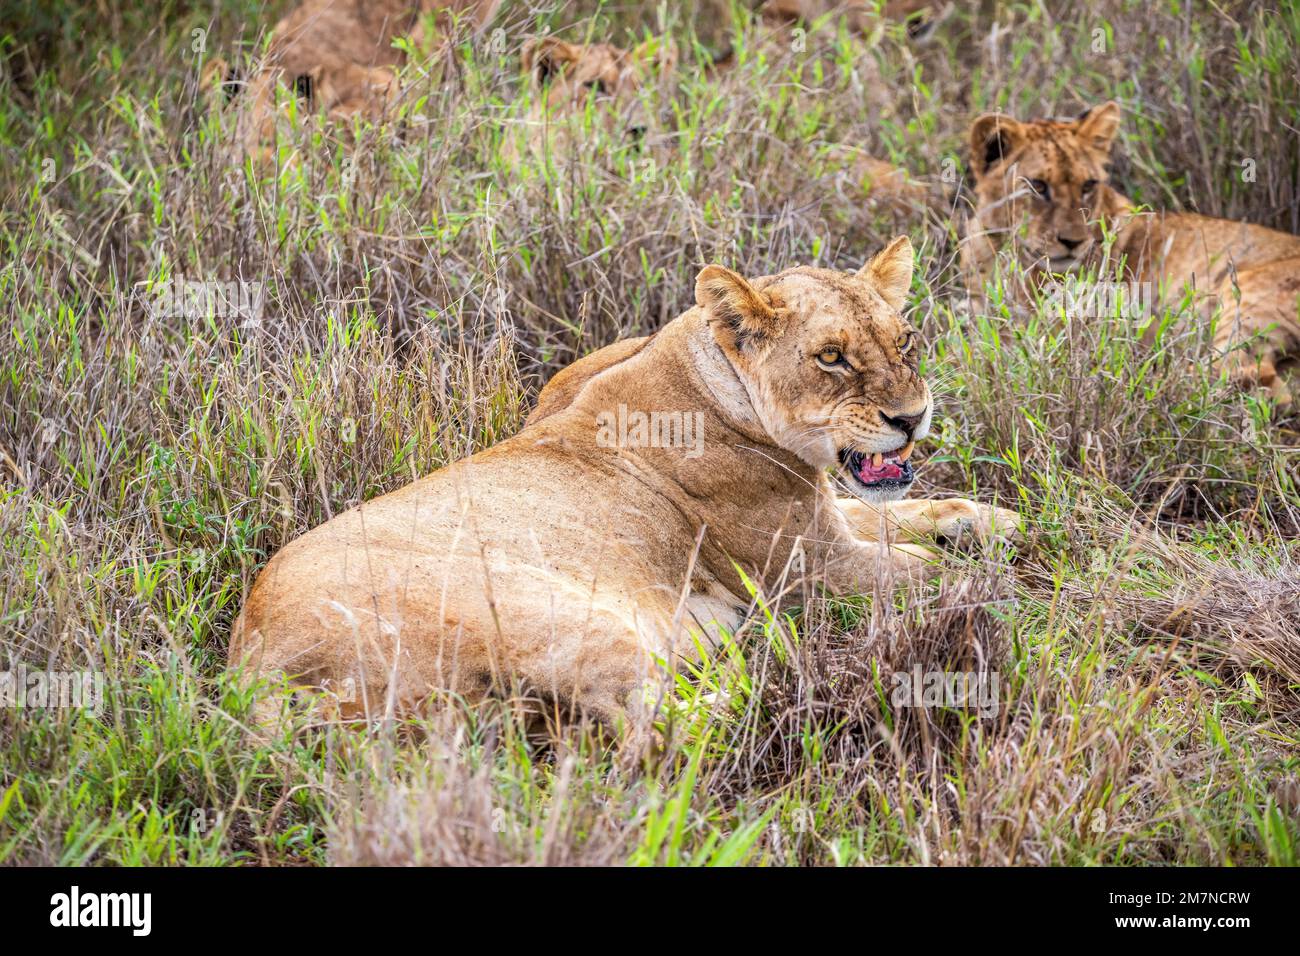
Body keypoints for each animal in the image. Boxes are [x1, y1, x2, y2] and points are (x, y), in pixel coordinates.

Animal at [229, 236, 1017, 732]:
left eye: (905, 341)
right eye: (831, 357)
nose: (912, 418)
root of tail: (256, 670)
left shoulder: (826, 517)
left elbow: (912, 511)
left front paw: (994, 520)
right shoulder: (816, 569)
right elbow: (938, 575)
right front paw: (1004, 577)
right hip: (559, 615)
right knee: (666, 720)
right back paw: (762, 671)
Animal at [962, 100, 1300, 404]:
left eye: (1088, 185)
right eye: (1038, 185)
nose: (1073, 242)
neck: (1002, 253)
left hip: (1245, 294)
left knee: (1240, 373)